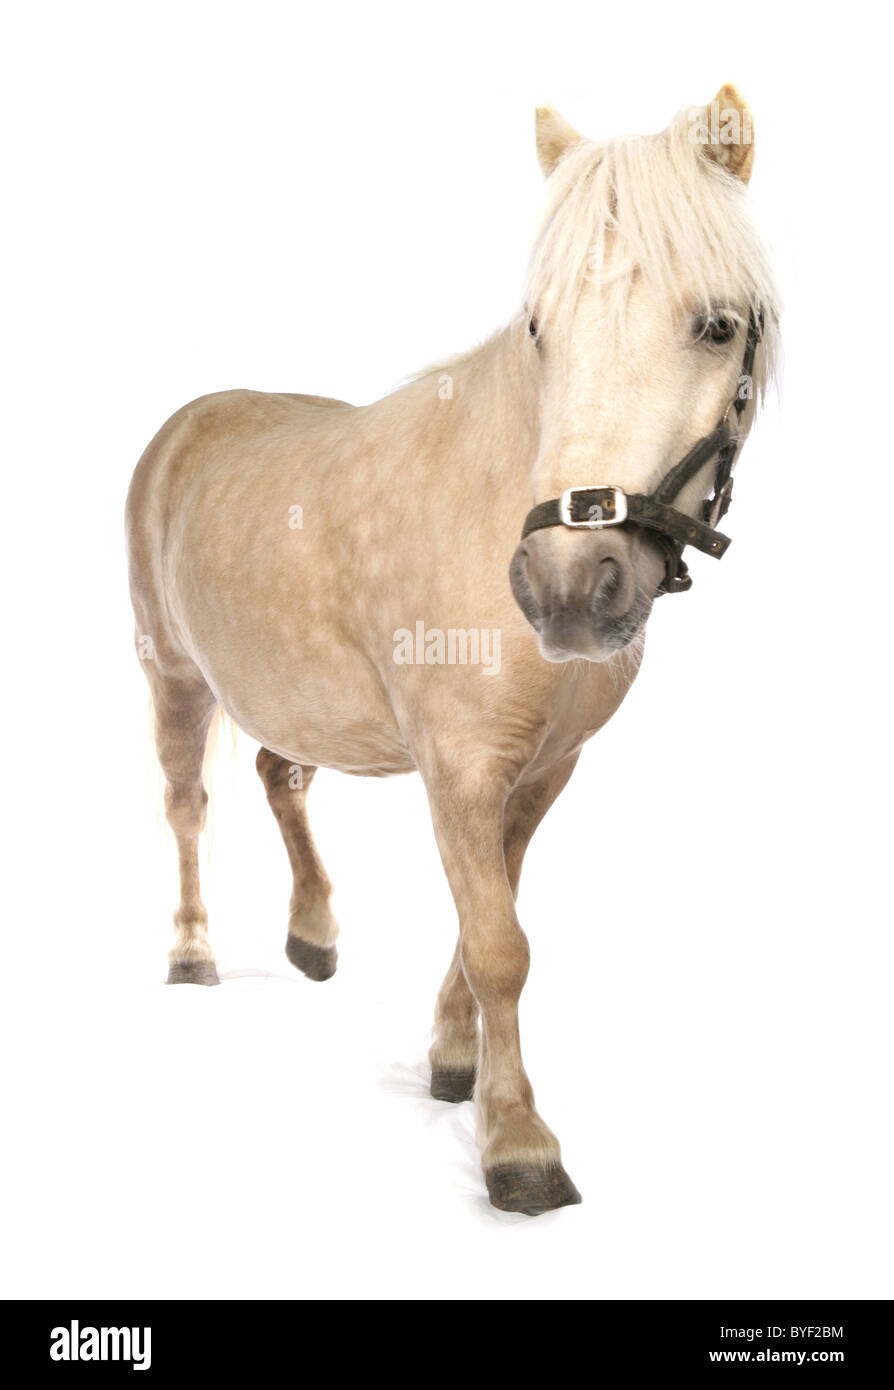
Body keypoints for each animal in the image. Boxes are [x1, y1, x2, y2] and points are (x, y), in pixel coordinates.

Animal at [126, 84, 779, 1215]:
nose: (568, 585)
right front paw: (517, 1143)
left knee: (280, 775)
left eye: (716, 326)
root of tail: (185, 424)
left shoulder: (541, 769)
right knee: (187, 807)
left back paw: (312, 934)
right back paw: (192, 951)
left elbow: (492, 918)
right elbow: (500, 945)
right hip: (172, 677)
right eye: (540, 326)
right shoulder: (461, 767)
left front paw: (454, 1062)